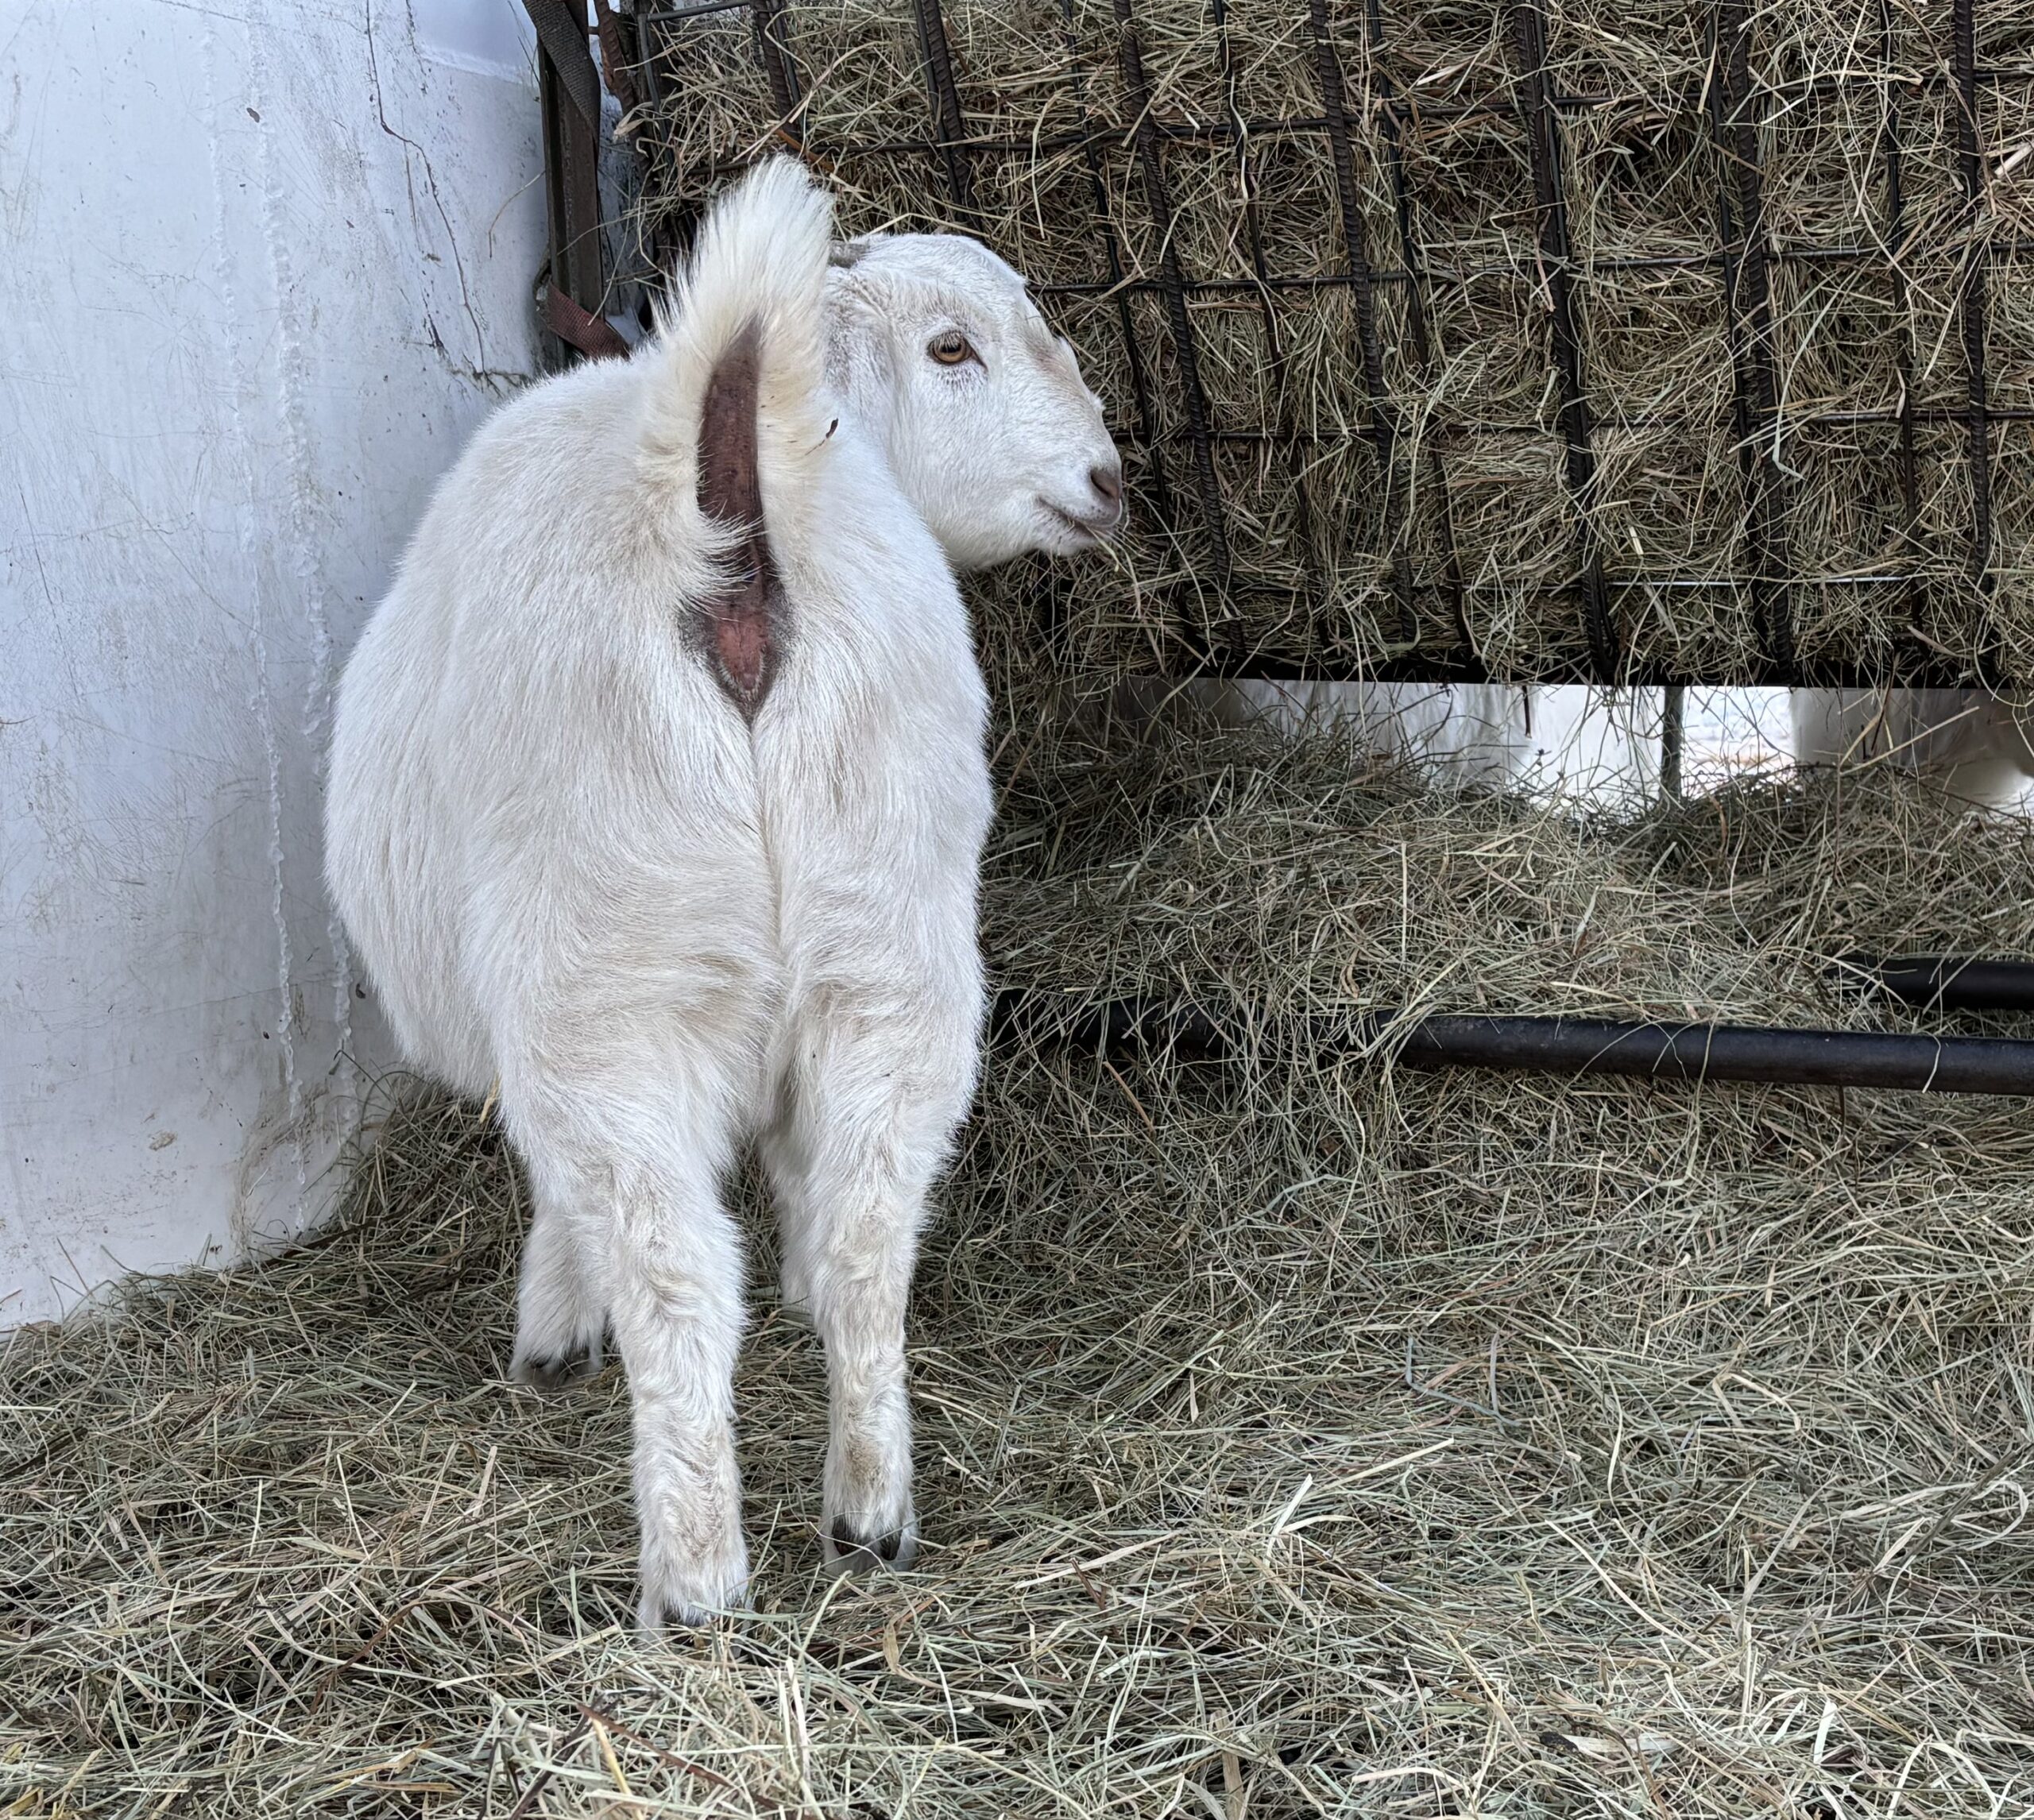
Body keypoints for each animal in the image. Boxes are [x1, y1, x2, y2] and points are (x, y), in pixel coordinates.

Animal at [325, 158, 1121, 1631]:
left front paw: (554, 1328)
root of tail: (727, 513)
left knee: (676, 1269)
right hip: (893, 943)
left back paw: (693, 1580)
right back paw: (869, 1506)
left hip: (610, 978)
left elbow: (566, 1203)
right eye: (952, 349)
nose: (1106, 480)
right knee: (871, 1225)